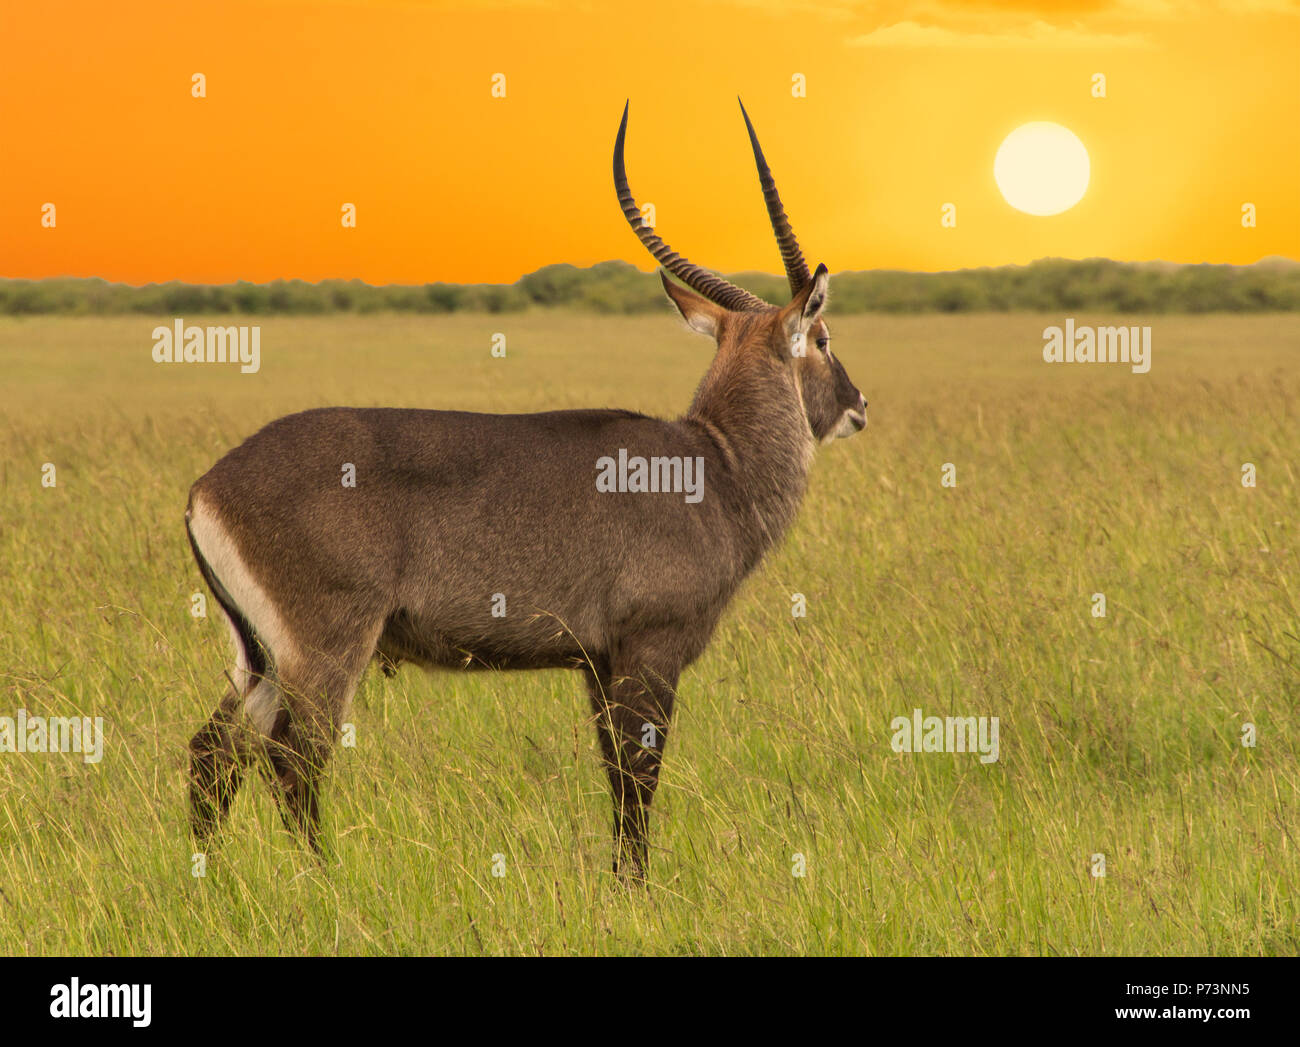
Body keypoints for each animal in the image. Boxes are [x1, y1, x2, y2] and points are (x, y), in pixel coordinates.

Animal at [186, 99, 868, 880]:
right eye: (823, 336)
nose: (859, 405)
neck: (715, 461)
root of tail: (207, 485)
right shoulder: (649, 651)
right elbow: (639, 778)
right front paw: (637, 888)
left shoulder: (598, 662)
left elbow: (616, 777)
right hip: (323, 648)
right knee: (292, 761)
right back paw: (326, 879)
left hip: (259, 656)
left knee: (213, 754)